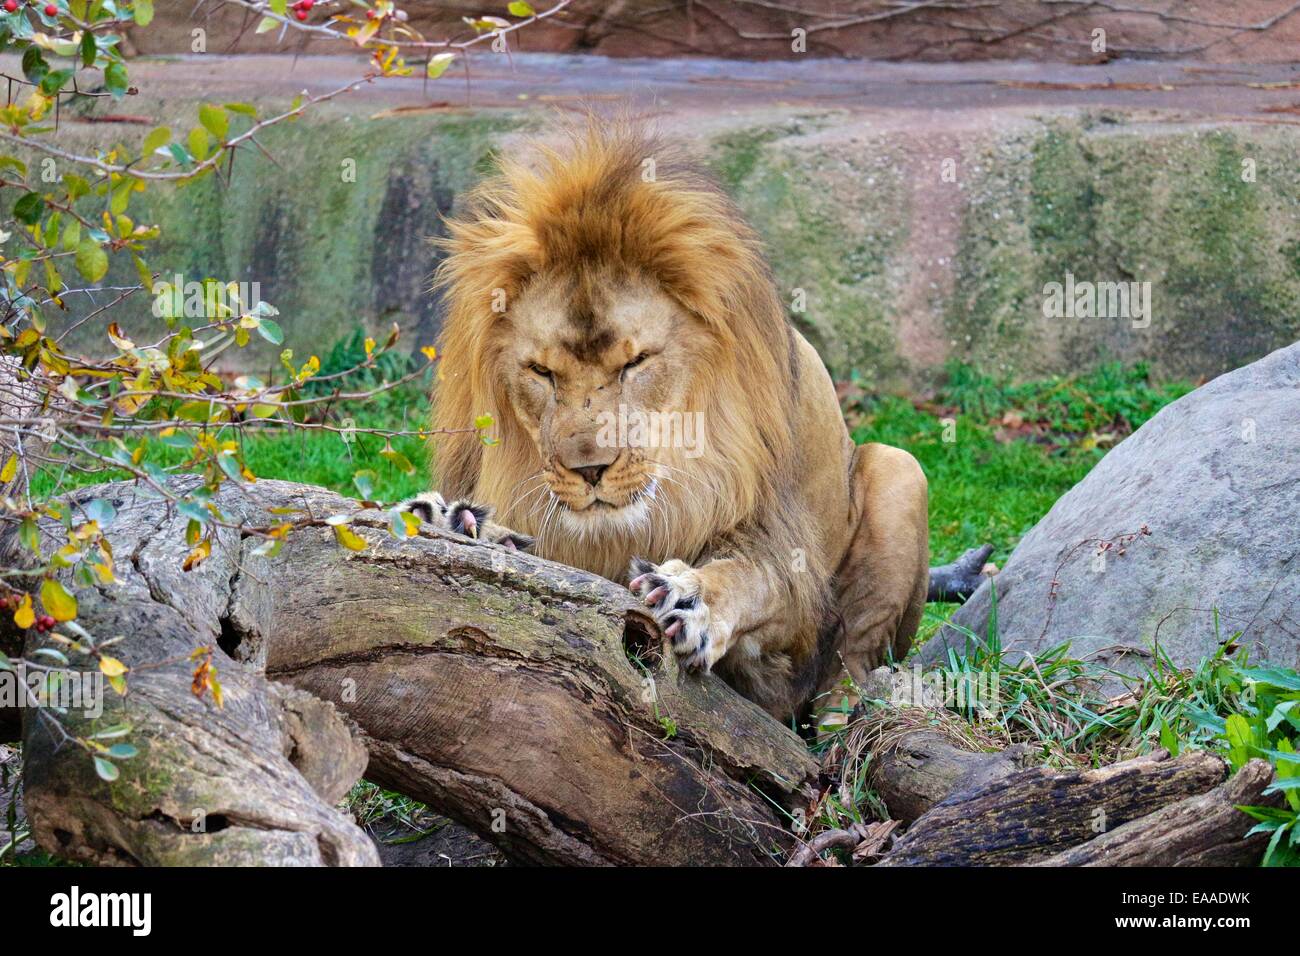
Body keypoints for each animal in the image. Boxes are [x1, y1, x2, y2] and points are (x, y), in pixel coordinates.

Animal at [407, 121, 930, 721]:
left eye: (636, 362)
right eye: (541, 371)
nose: (590, 470)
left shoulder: (781, 544)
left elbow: (753, 578)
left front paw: (690, 596)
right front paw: (463, 524)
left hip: (900, 469)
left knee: (852, 666)